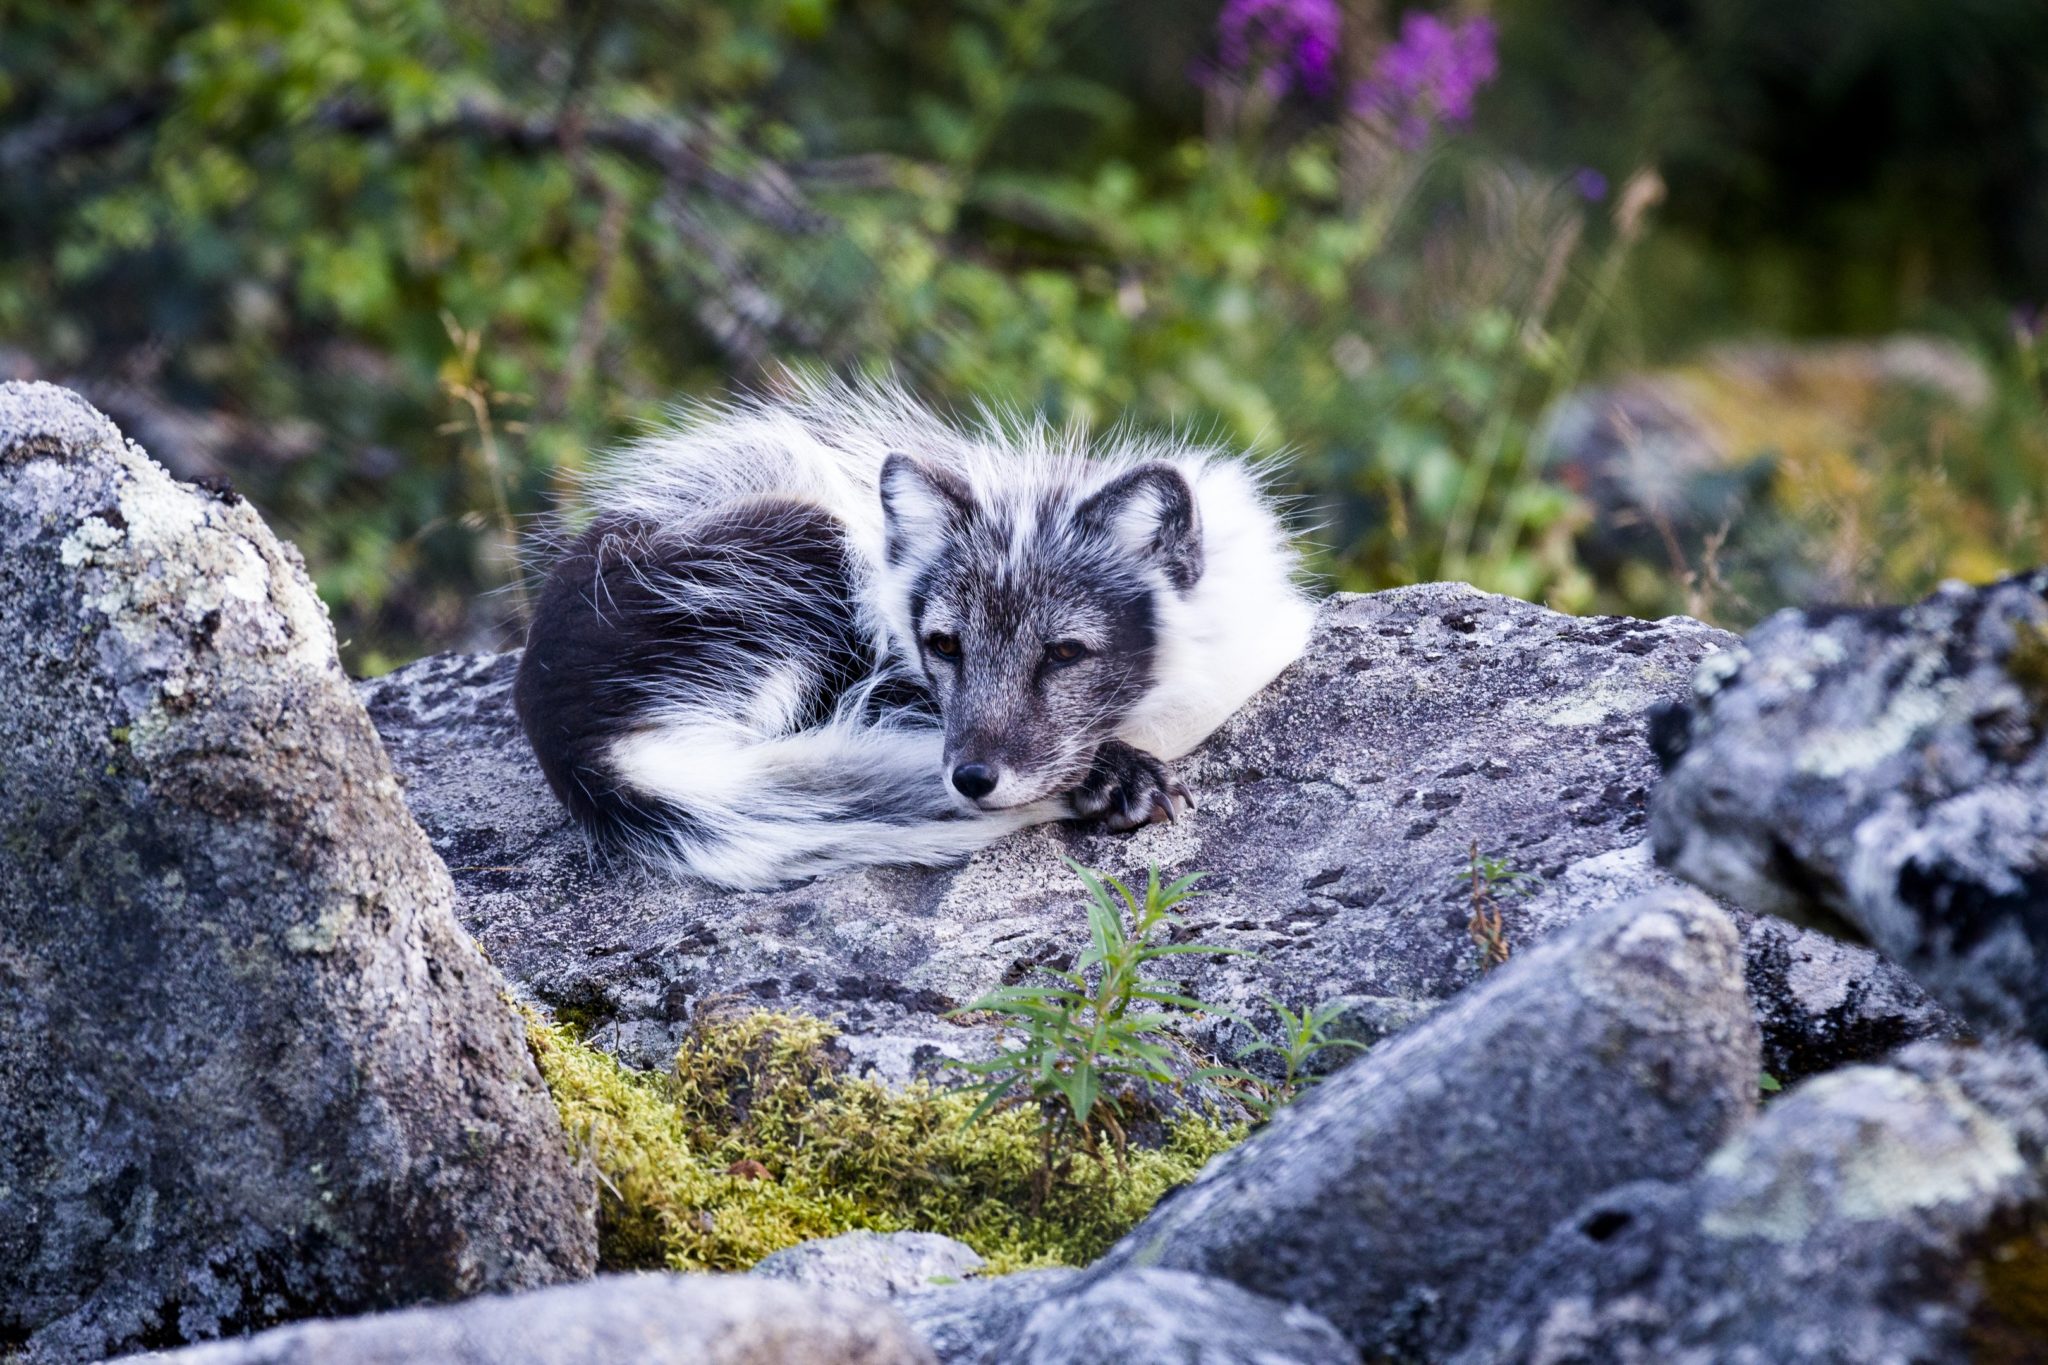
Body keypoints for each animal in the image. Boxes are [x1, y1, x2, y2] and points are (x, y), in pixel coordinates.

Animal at [513, 378, 1316, 890]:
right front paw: (1114, 770)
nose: (971, 779)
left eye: (1064, 652)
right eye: (945, 645)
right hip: (798, 543)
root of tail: (577, 748)